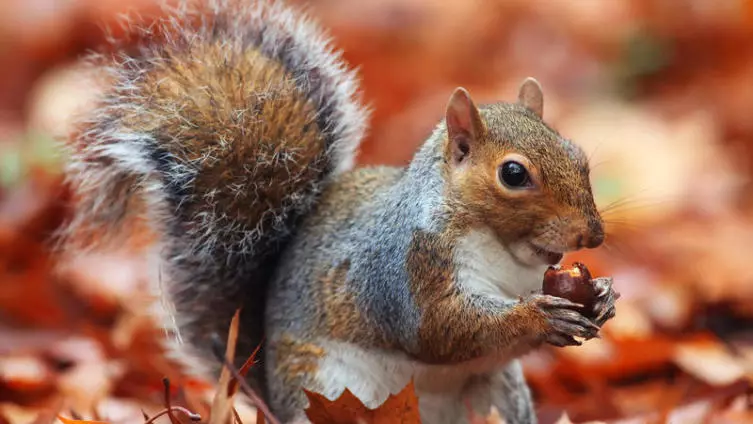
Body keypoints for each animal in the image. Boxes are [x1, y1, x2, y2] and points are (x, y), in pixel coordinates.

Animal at [60, 0, 616, 422]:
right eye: (514, 174)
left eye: (578, 156)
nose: (591, 236)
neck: (507, 254)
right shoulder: (403, 270)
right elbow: (440, 329)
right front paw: (537, 316)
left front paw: (604, 296)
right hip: (328, 389)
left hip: (500, 392)